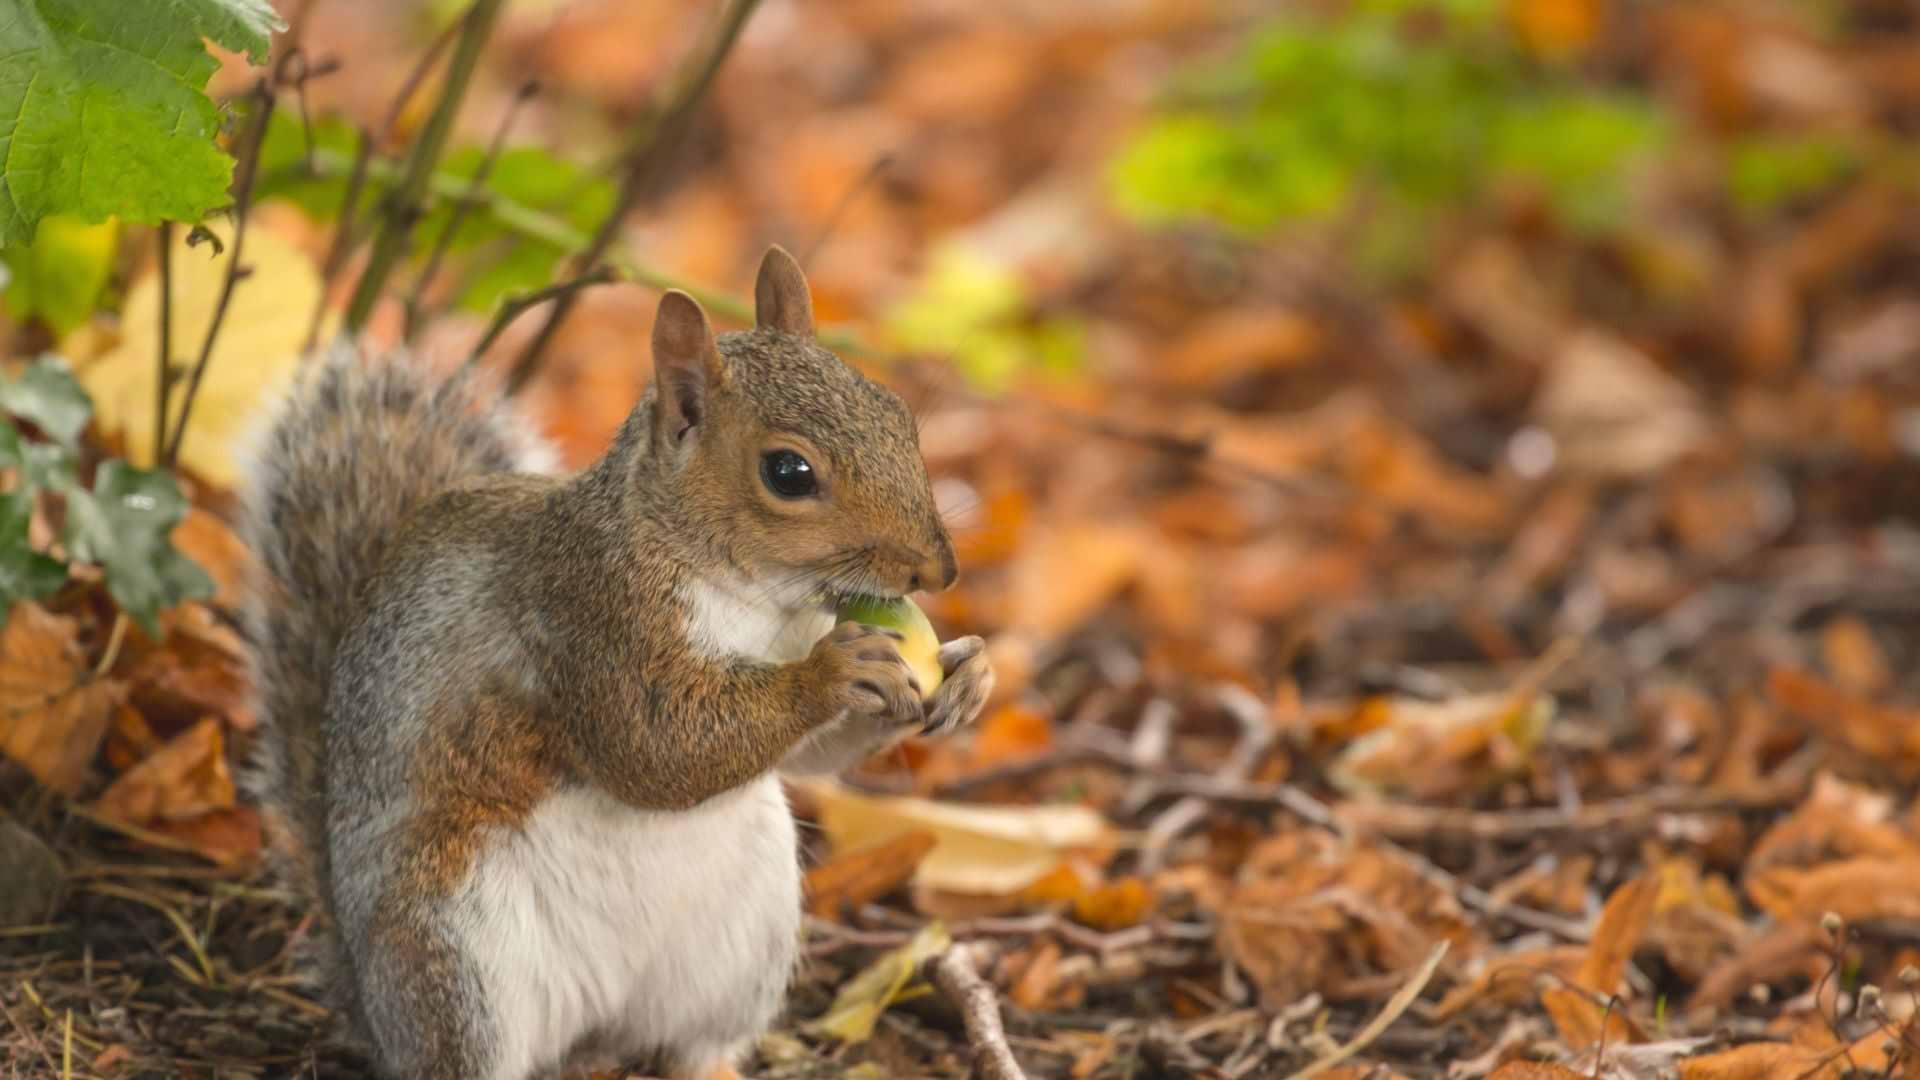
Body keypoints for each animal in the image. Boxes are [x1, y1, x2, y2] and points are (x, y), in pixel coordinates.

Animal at [238, 246, 994, 1080]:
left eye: (897, 414)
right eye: (789, 473)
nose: (939, 572)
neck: (755, 599)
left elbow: (811, 758)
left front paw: (967, 673)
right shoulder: (587, 621)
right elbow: (653, 747)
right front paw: (831, 672)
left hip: (745, 938)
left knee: (692, 1044)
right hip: (453, 952)